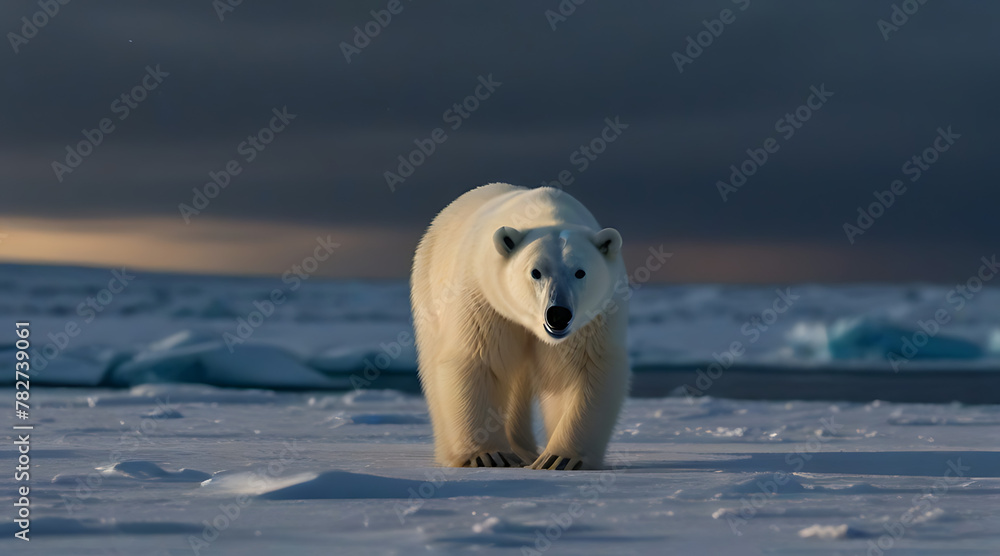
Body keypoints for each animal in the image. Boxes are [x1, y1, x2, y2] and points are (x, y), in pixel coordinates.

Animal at [410, 182, 630, 470]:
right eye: (536, 272)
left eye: (580, 272)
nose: (558, 314)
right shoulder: (484, 302)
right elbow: (478, 361)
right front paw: (489, 455)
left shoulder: (590, 321)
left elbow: (585, 368)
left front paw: (559, 458)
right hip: (429, 289)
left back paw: (525, 451)